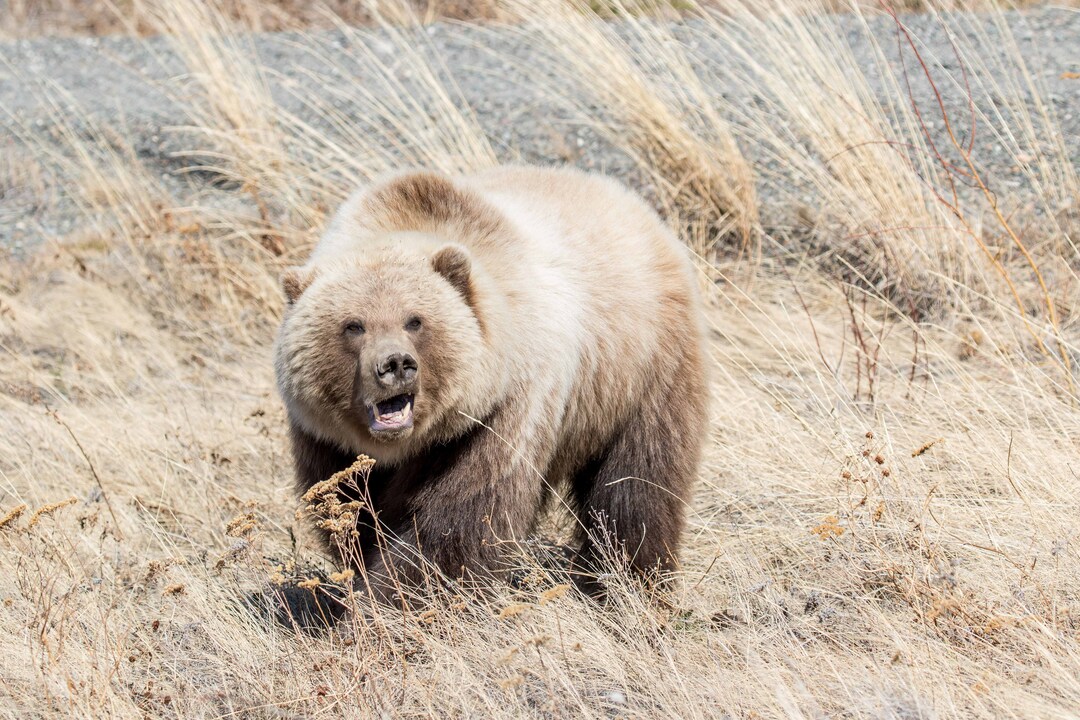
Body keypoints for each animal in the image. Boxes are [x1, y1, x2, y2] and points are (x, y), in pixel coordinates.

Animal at [274, 165, 709, 601]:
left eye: (414, 320)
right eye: (354, 325)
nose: (395, 364)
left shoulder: (498, 413)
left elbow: (460, 519)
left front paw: (400, 595)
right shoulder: (328, 441)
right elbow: (347, 507)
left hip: (641, 370)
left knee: (636, 483)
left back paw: (624, 580)